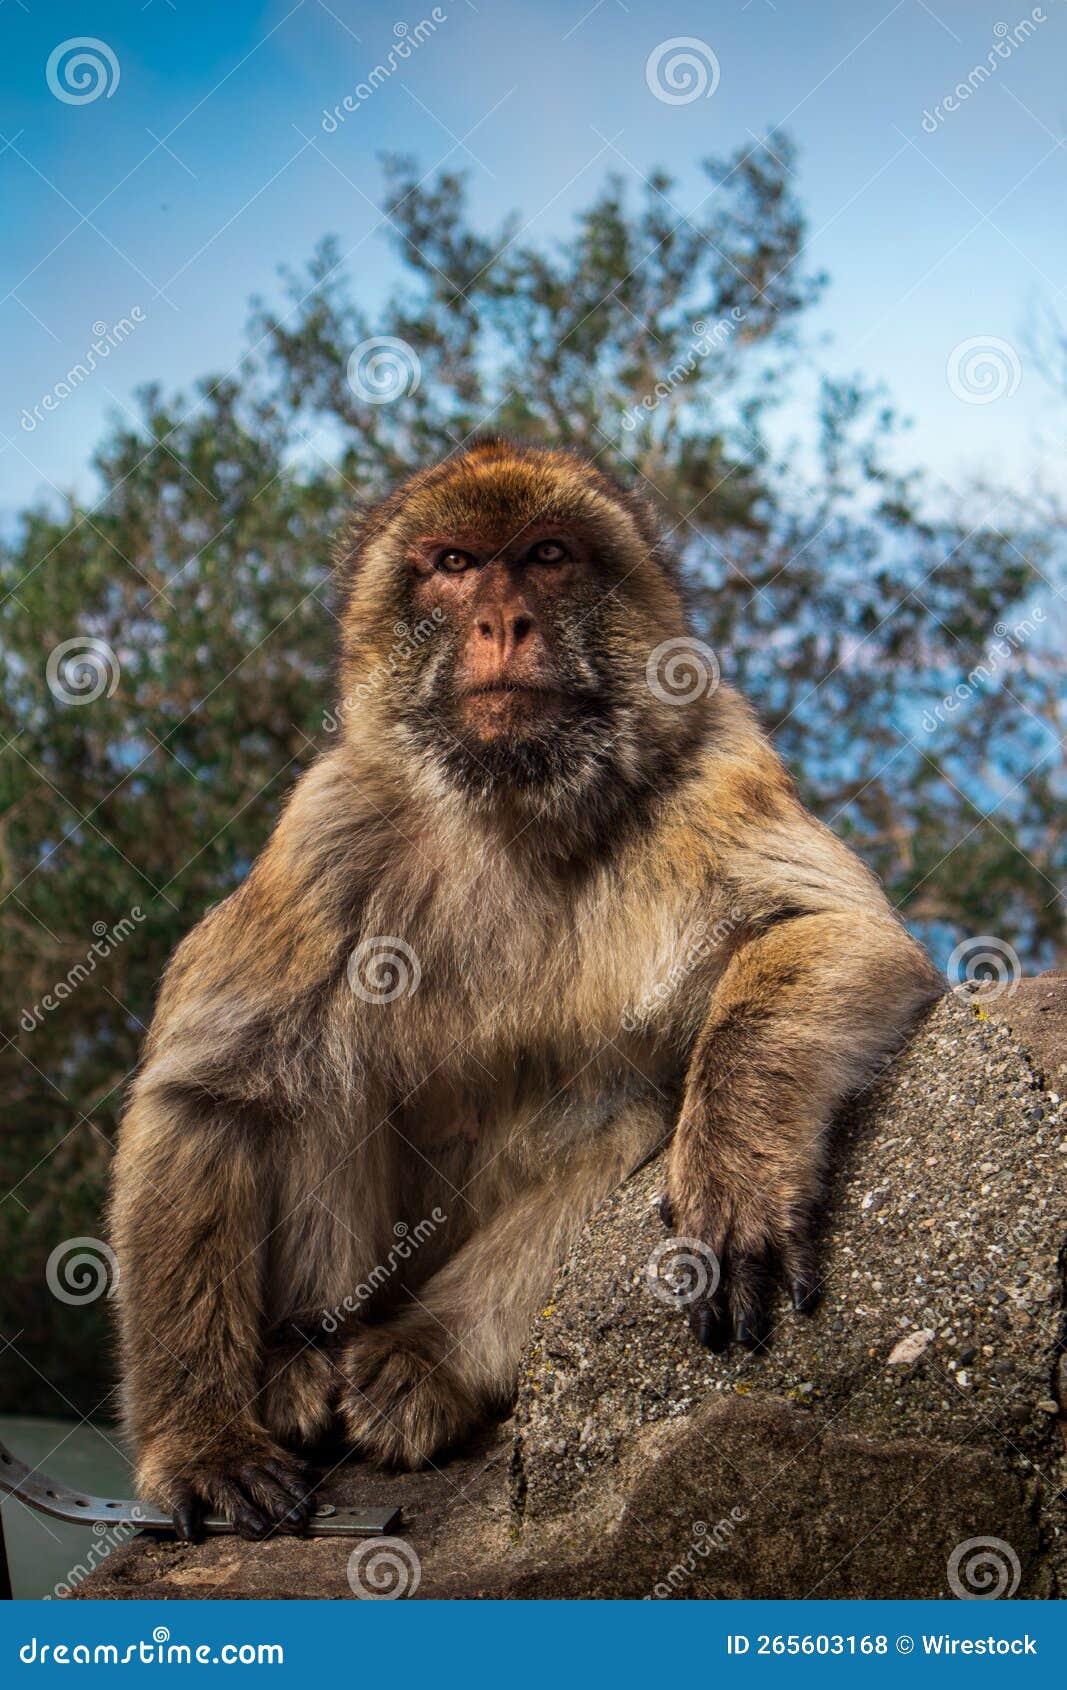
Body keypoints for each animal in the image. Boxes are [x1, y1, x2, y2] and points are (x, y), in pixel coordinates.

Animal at [110, 436, 943, 1541]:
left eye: (548, 555)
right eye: (453, 565)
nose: (501, 622)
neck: (512, 807)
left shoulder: (711, 762)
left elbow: (832, 929)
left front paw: (735, 1172)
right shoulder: (328, 827)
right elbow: (210, 1090)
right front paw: (199, 1439)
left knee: (625, 1103)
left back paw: (426, 1364)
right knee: (314, 1075)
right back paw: (291, 1361)